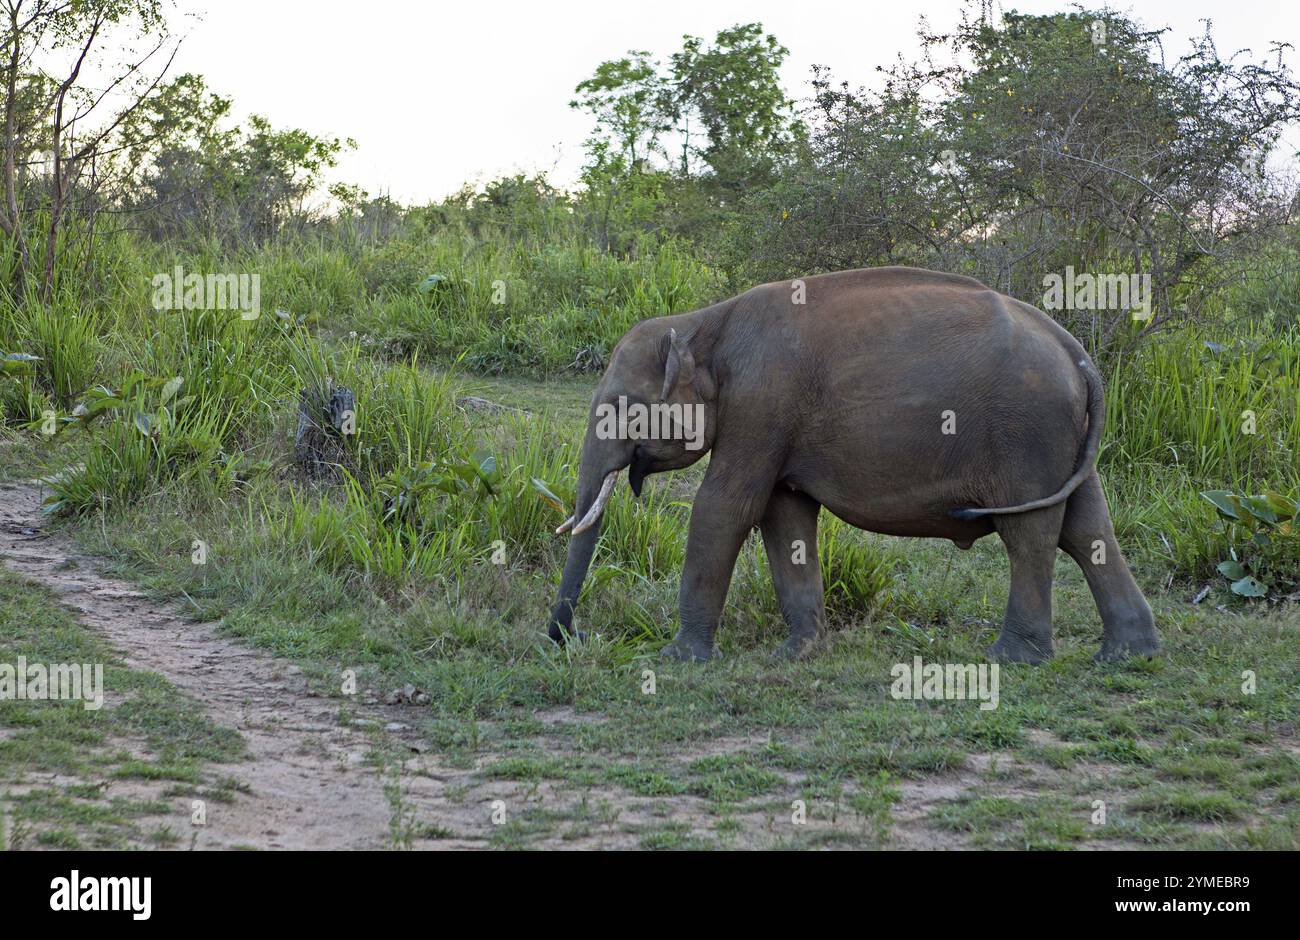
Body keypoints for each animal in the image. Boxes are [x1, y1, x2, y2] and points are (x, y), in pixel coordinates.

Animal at [546, 266, 1159, 664]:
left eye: (619, 407)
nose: (563, 640)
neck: (704, 320)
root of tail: (1077, 351)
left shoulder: (762, 401)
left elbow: (726, 507)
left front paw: (677, 660)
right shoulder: (774, 418)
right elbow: (784, 516)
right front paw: (795, 654)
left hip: (1026, 430)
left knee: (1030, 532)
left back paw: (1011, 659)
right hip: (1059, 437)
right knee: (1086, 526)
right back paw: (1128, 656)